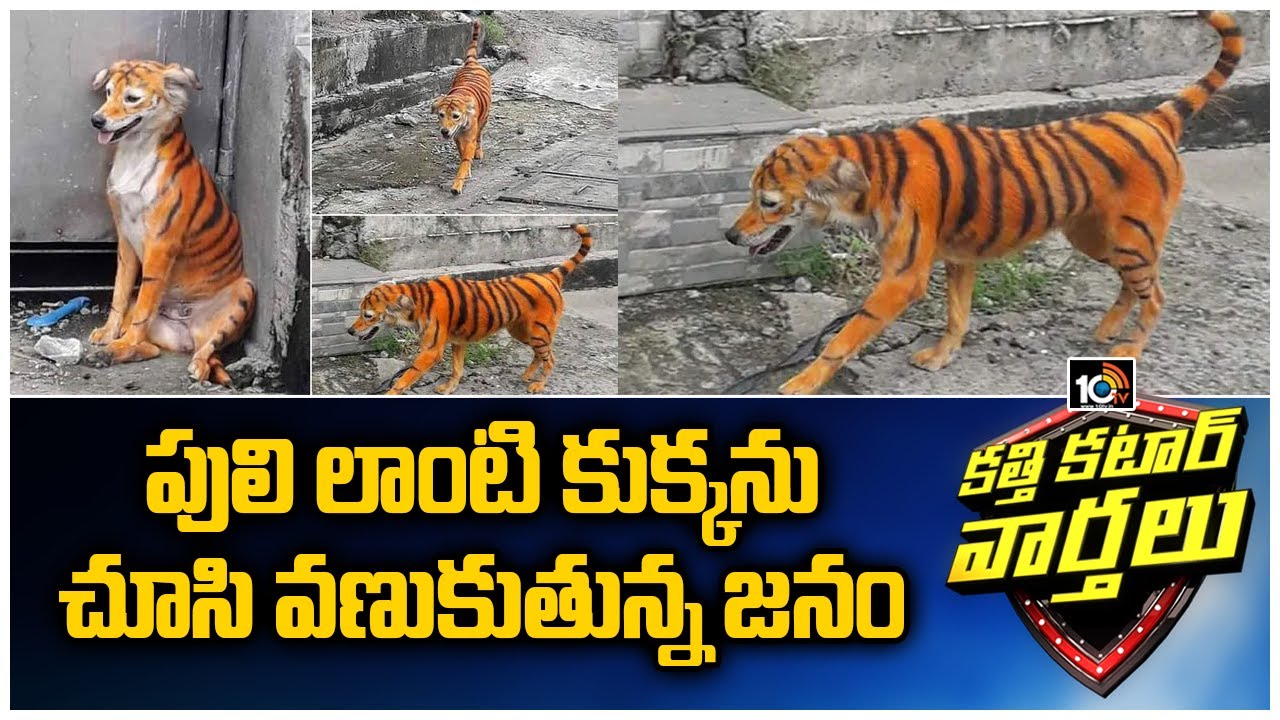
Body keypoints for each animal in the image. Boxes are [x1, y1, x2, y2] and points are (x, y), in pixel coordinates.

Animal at [85, 60, 256, 387]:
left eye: (132, 98)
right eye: (109, 92)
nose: (96, 121)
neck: (135, 151)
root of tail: (187, 328)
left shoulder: (160, 244)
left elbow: (142, 308)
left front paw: (120, 342)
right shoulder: (125, 239)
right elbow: (119, 293)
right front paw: (109, 335)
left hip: (245, 292)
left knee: (206, 352)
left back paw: (192, 366)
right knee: (151, 348)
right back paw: (109, 353)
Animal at [348, 224, 593, 395]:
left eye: (368, 315)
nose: (350, 331)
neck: (416, 303)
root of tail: (550, 275)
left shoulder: (431, 350)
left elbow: (406, 377)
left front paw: (391, 392)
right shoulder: (458, 342)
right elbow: (457, 368)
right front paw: (448, 388)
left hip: (538, 332)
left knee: (550, 358)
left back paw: (538, 385)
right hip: (521, 331)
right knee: (539, 354)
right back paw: (526, 376)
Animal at [433, 20, 493, 195]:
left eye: (455, 116)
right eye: (441, 115)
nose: (444, 131)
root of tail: (472, 62)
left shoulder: (469, 138)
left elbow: (466, 160)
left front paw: (457, 185)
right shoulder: (457, 138)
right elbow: (462, 154)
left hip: (484, 119)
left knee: (480, 135)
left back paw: (479, 152)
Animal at [726, 11, 1243, 396]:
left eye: (768, 201)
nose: (730, 234)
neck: (869, 175)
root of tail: (1155, 118)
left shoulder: (904, 276)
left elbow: (847, 334)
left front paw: (801, 382)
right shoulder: (959, 258)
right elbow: (957, 313)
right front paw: (941, 356)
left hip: (1130, 237)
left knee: (1156, 294)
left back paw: (1129, 351)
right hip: (1097, 237)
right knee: (1135, 286)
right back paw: (1107, 331)